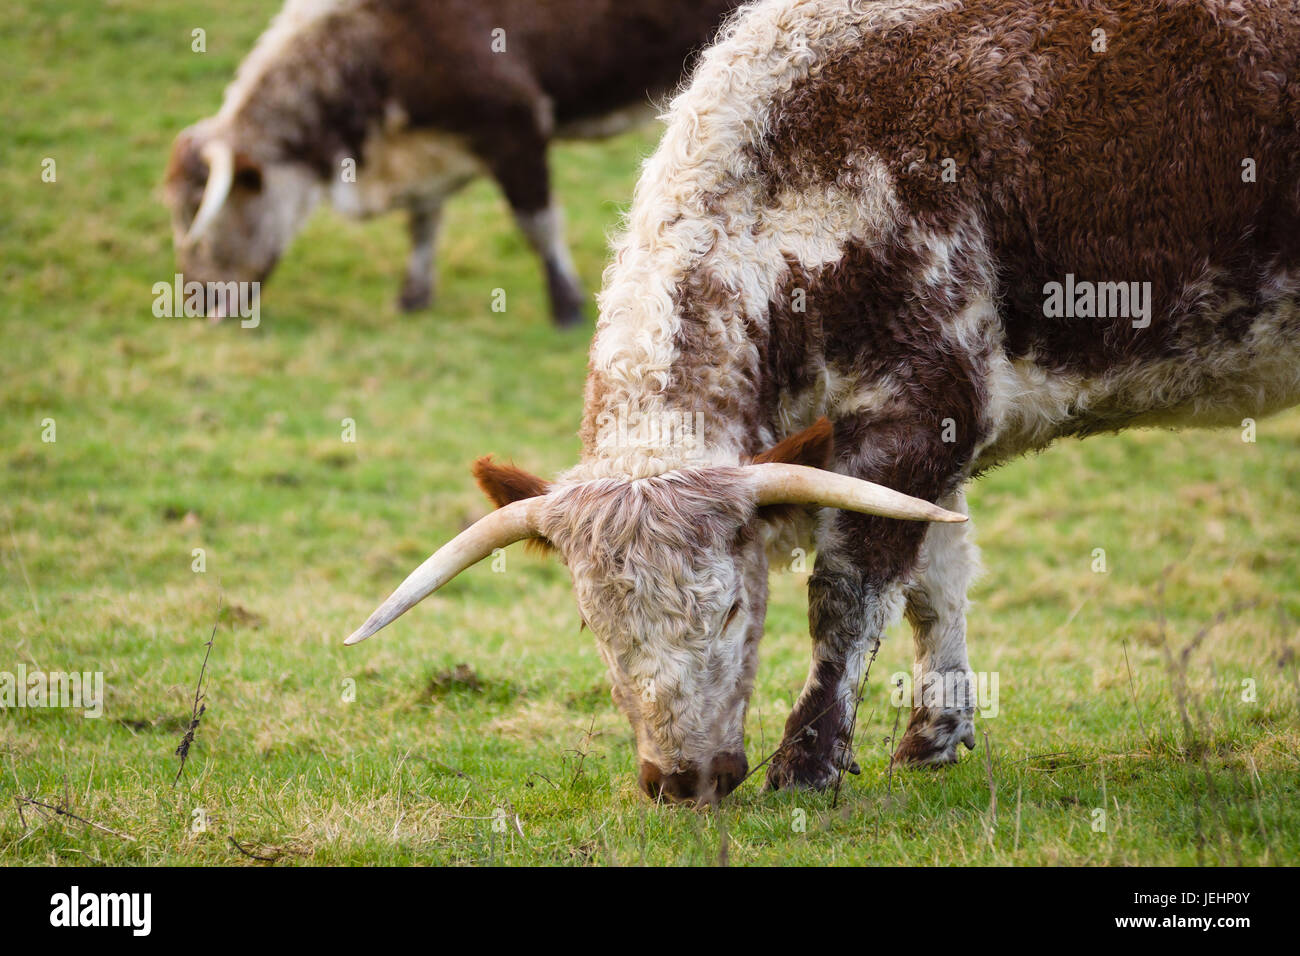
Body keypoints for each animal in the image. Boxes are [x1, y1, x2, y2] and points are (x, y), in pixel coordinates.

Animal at [164, 0, 740, 325]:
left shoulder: (517, 125)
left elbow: (537, 224)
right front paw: (413, 295)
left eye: (200, 217)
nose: (193, 301)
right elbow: (423, 223)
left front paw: (566, 305)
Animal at [344, 0, 1300, 803]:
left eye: (733, 606)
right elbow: (936, 582)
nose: (682, 782)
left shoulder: (915, 415)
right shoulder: (917, 446)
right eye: (594, 624)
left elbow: (851, 593)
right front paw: (935, 734)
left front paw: (807, 764)